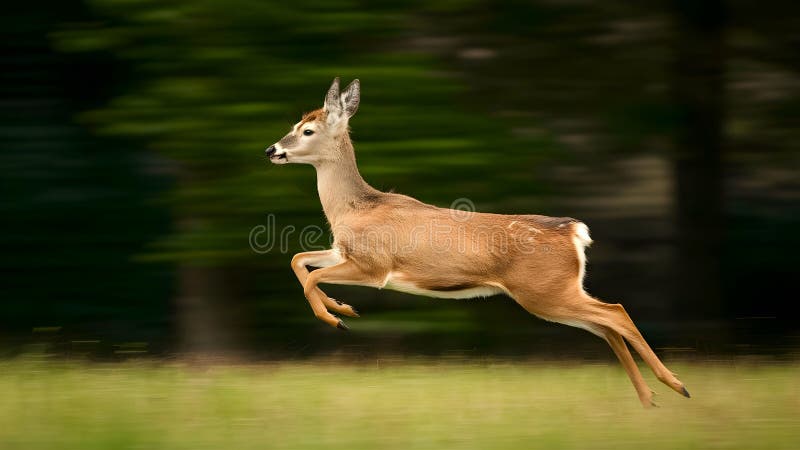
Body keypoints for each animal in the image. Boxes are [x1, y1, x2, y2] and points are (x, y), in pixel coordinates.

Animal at [265, 78, 690, 407]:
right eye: (295, 123)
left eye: (307, 130)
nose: (272, 150)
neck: (353, 208)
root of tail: (574, 232)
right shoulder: (342, 253)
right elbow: (299, 260)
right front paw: (343, 308)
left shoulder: (374, 266)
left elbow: (310, 276)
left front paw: (337, 318)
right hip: (554, 293)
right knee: (607, 326)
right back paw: (649, 399)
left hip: (544, 291)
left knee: (616, 313)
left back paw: (677, 386)